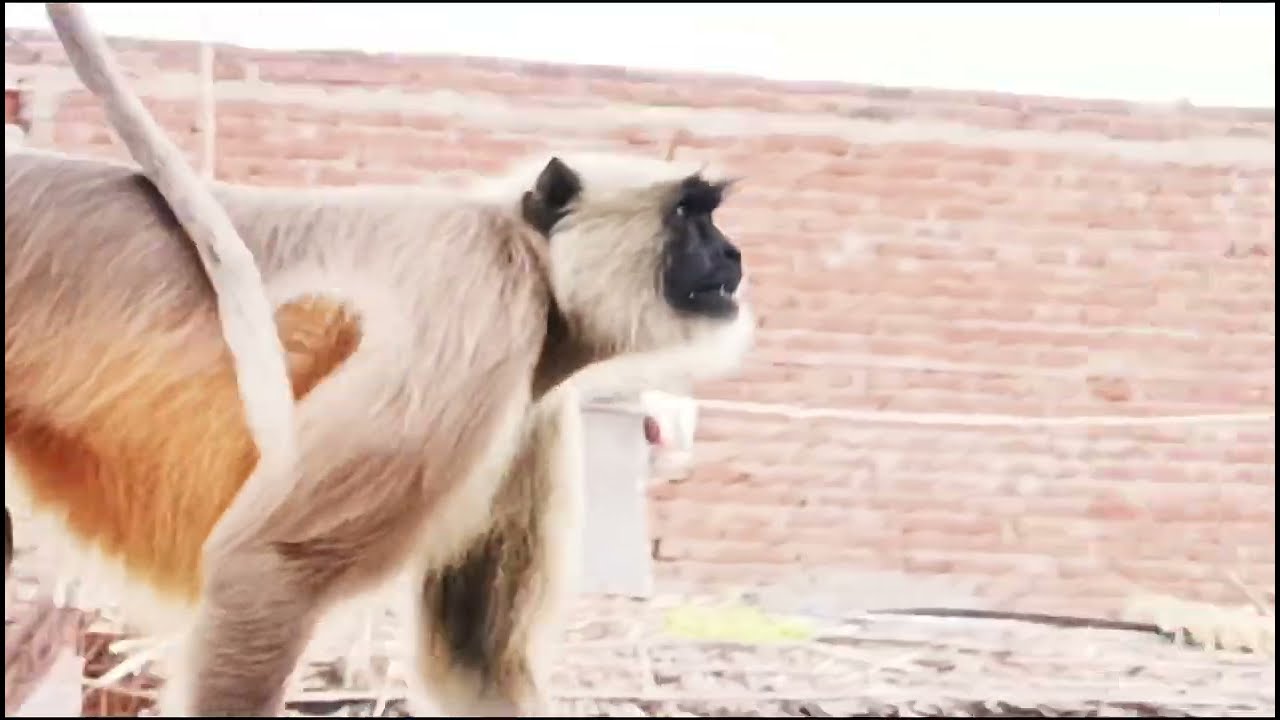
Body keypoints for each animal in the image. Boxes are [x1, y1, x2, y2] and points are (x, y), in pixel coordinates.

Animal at [4, 147, 755, 716]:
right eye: (688, 215)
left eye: (709, 216)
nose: (732, 255)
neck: (524, 250)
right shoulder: (479, 309)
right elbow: (267, 561)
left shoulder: (533, 404)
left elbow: (477, 657)